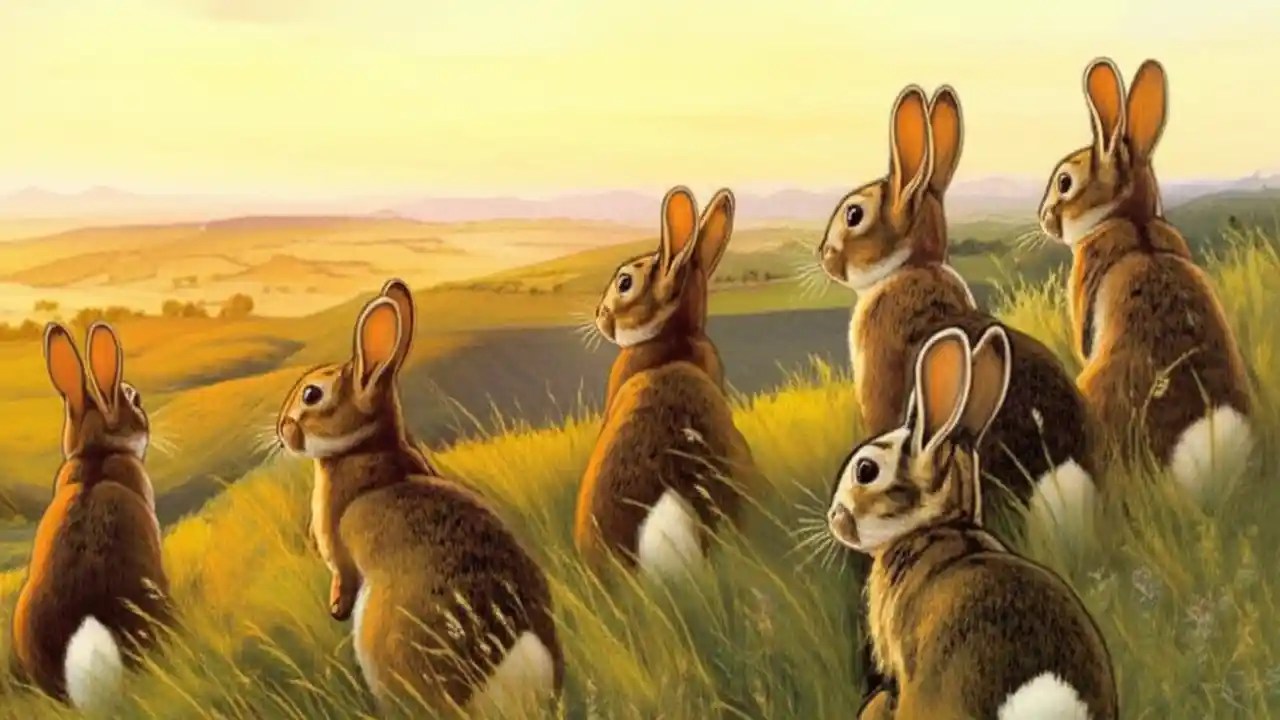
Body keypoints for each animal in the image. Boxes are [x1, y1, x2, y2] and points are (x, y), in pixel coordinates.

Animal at [276, 279, 563, 717]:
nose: (281, 429)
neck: (364, 449)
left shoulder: (338, 551)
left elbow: (343, 576)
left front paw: (336, 609)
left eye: (311, 394)